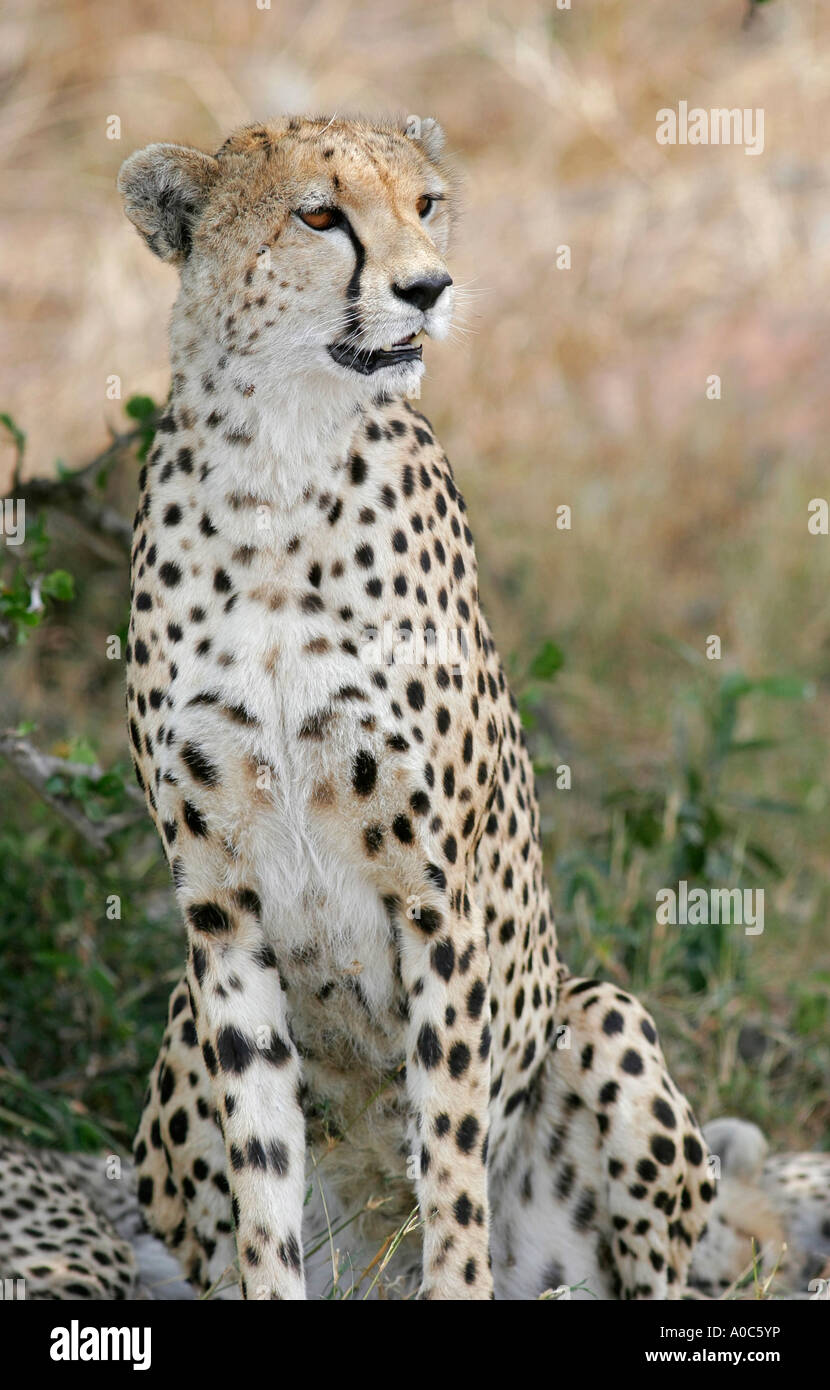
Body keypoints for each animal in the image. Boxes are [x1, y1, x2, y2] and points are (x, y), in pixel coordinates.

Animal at [115, 112, 713, 1301]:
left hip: (600, 1016)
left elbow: (450, 1157)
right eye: (318, 215)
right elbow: (262, 1183)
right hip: (181, 1025)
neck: (280, 465)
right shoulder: (219, 910)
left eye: (425, 204)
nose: (428, 286)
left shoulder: (435, 896)